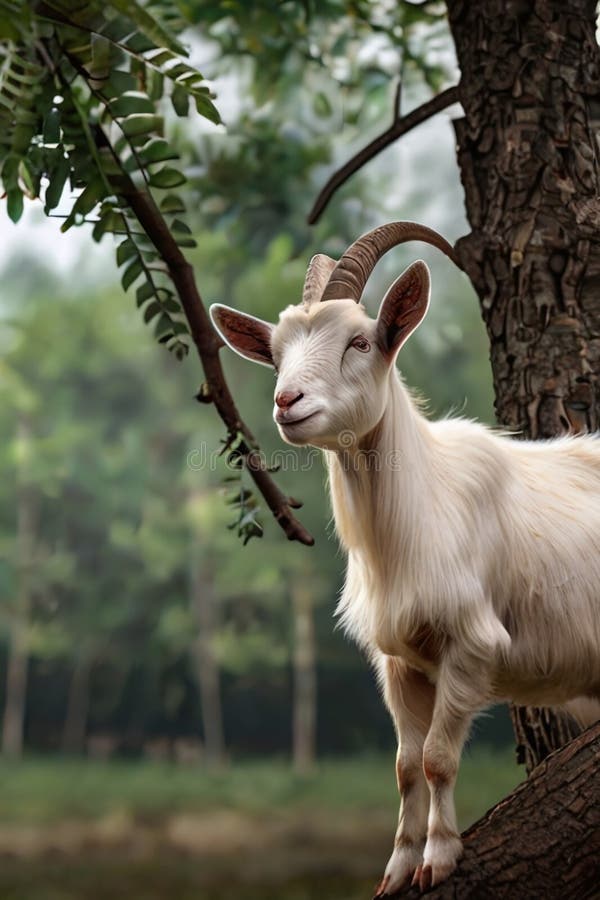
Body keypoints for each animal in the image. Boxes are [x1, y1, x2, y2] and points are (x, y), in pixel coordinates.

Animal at [209, 222, 600, 895]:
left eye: (360, 341)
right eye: (277, 354)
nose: (288, 401)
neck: (413, 521)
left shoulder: (472, 644)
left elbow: (439, 758)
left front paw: (438, 857)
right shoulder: (398, 661)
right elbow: (405, 765)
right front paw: (396, 866)